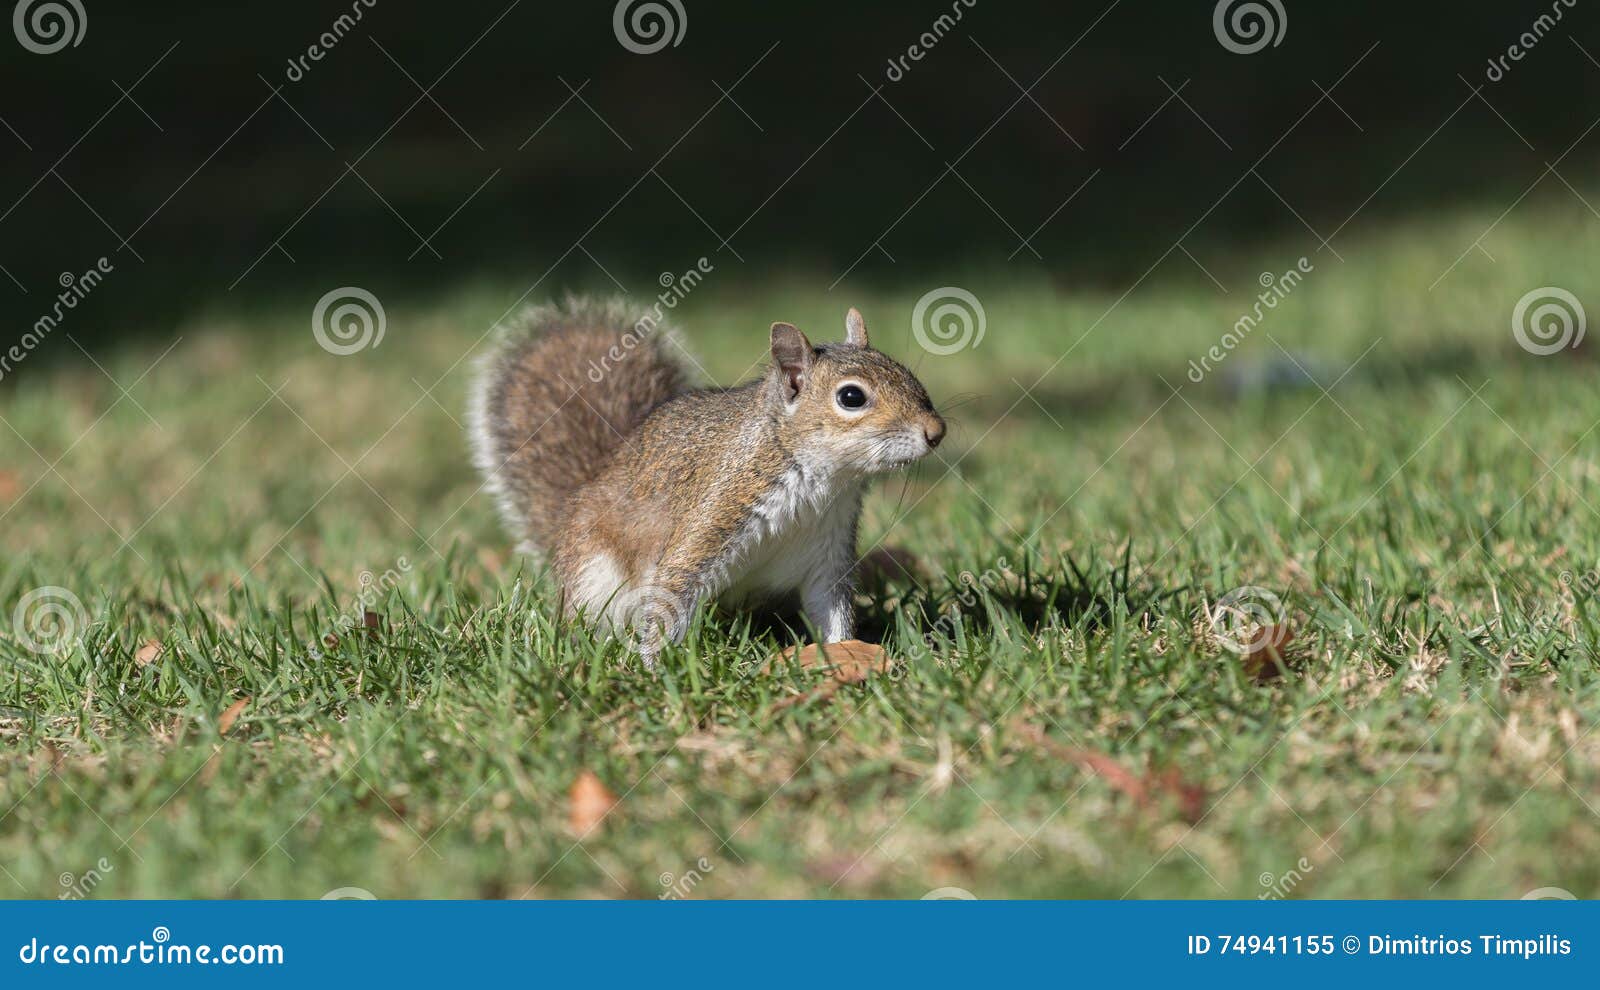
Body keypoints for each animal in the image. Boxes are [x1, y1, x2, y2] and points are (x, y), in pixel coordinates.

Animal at [468, 297, 946, 663]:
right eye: (851, 397)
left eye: (908, 374)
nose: (936, 432)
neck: (820, 482)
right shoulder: (717, 510)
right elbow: (672, 589)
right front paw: (653, 669)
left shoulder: (827, 548)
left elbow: (829, 605)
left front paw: (843, 650)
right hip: (593, 575)